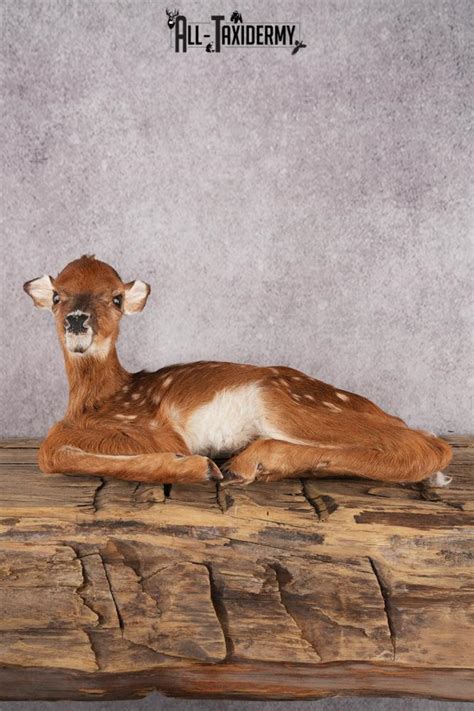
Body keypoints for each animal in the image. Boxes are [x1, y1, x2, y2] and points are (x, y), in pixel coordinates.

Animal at [24, 255, 452, 492]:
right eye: (58, 296)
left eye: (115, 298)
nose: (77, 320)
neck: (99, 399)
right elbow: (51, 449)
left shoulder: (153, 429)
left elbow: (49, 450)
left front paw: (194, 466)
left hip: (288, 403)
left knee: (427, 444)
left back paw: (246, 463)